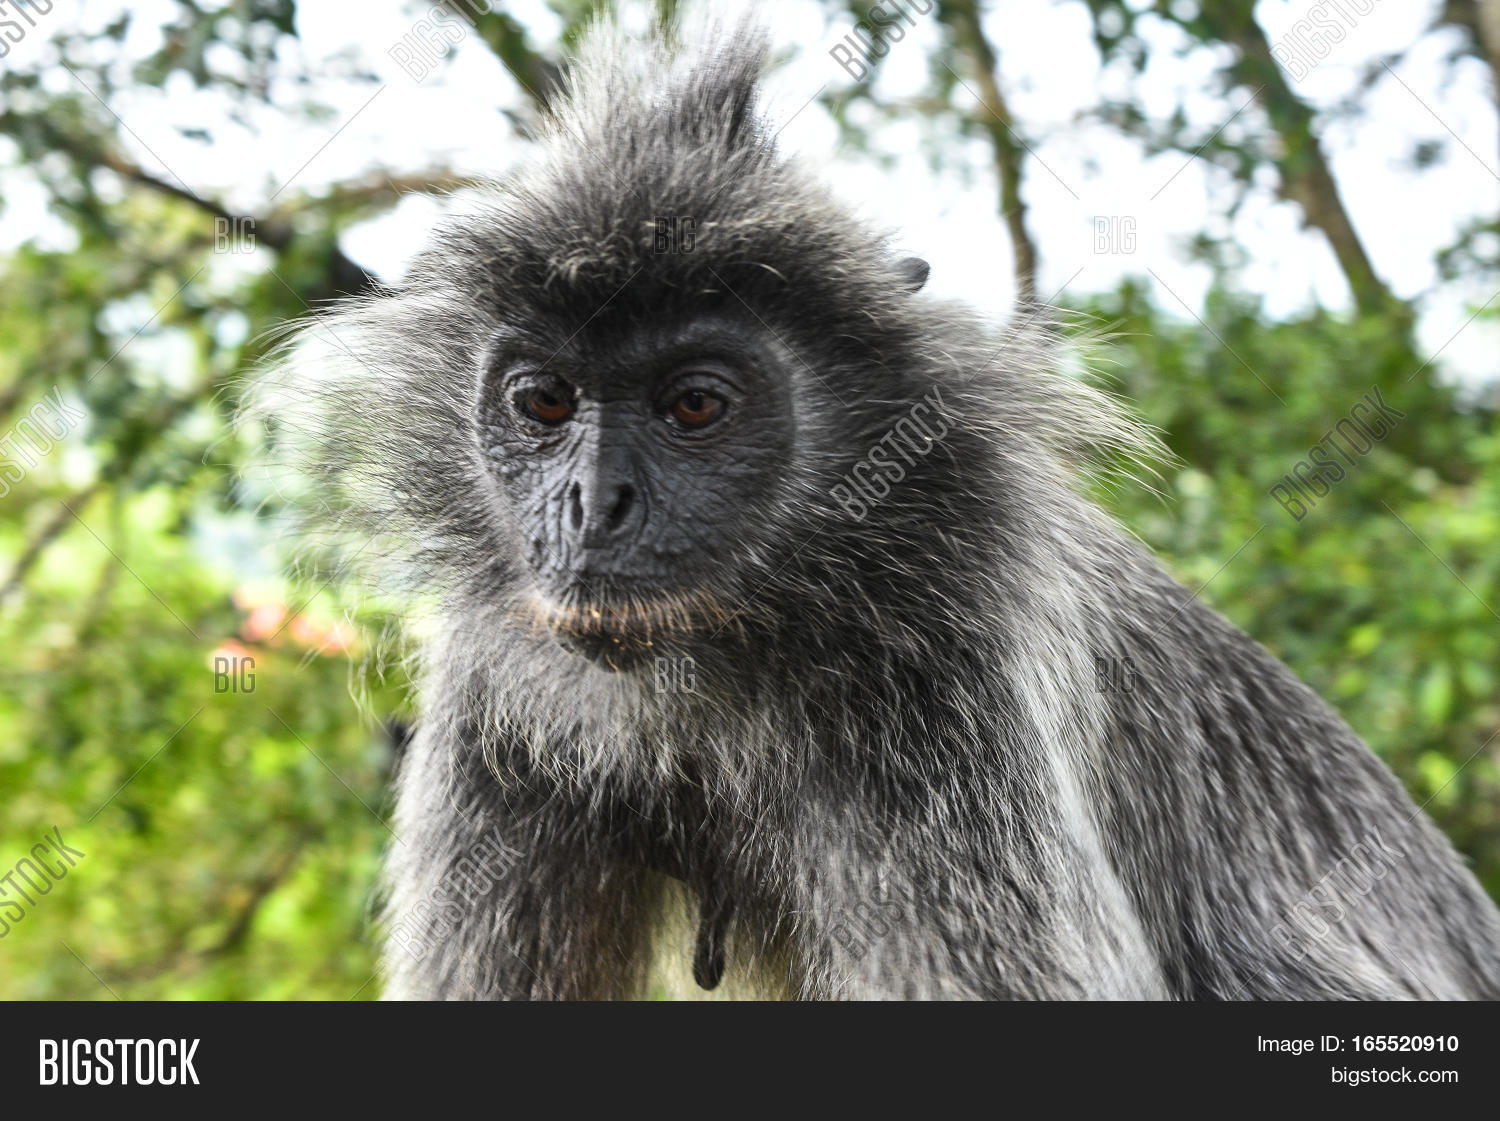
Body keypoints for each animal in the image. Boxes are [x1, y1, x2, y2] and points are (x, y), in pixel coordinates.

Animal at [250, 17, 1500, 999]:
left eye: (695, 404)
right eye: (544, 401)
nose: (591, 505)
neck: (721, 669)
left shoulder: (947, 695)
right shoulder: (494, 703)